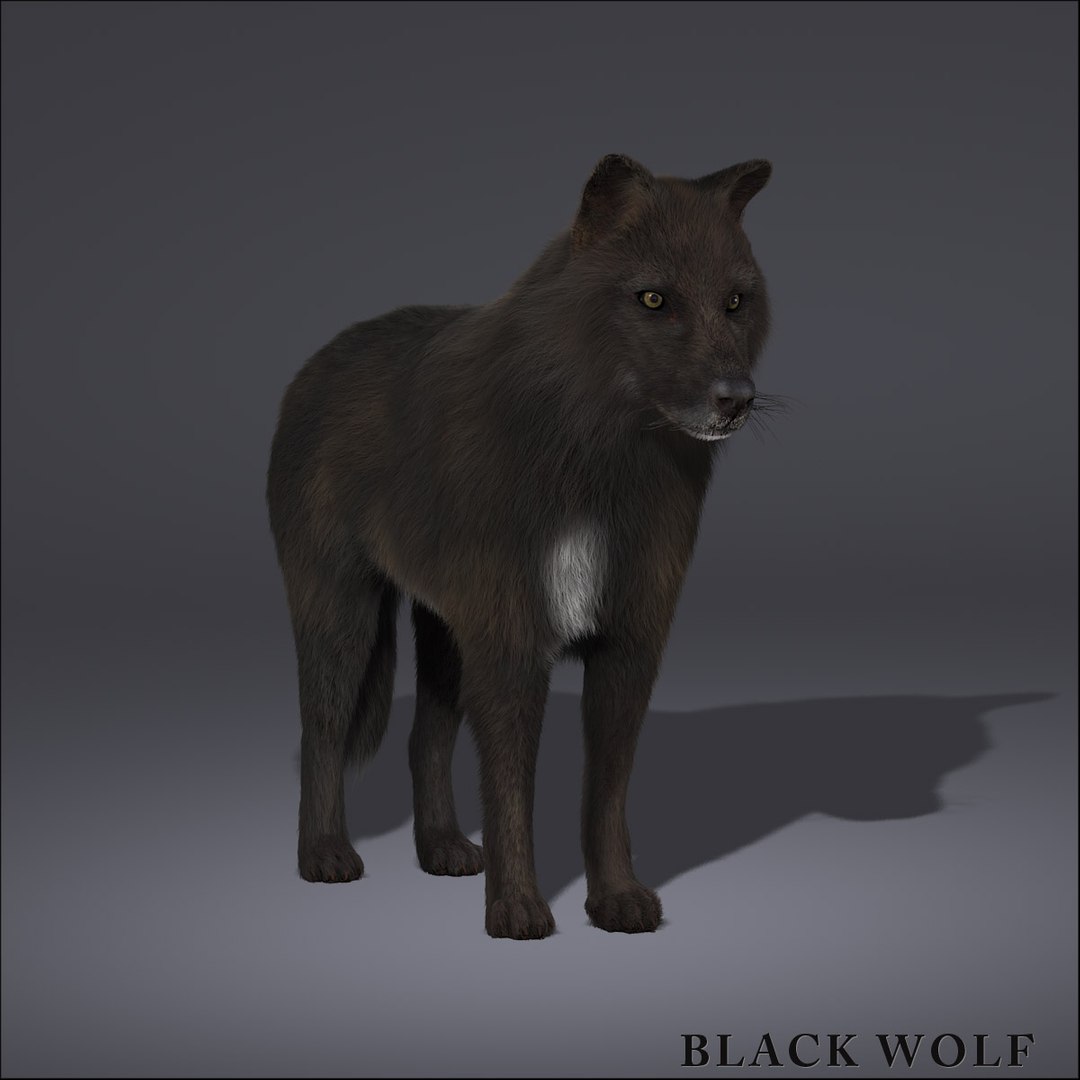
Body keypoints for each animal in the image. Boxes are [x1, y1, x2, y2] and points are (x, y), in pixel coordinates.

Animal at [267, 153, 774, 939]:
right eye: (654, 298)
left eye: (735, 302)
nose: (737, 398)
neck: (593, 456)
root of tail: (318, 361)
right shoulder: (512, 648)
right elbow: (511, 793)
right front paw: (517, 910)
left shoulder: (627, 648)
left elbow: (605, 794)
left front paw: (616, 899)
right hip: (342, 618)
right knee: (322, 731)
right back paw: (324, 854)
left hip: (444, 634)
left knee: (424, 738)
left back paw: (443, 848)